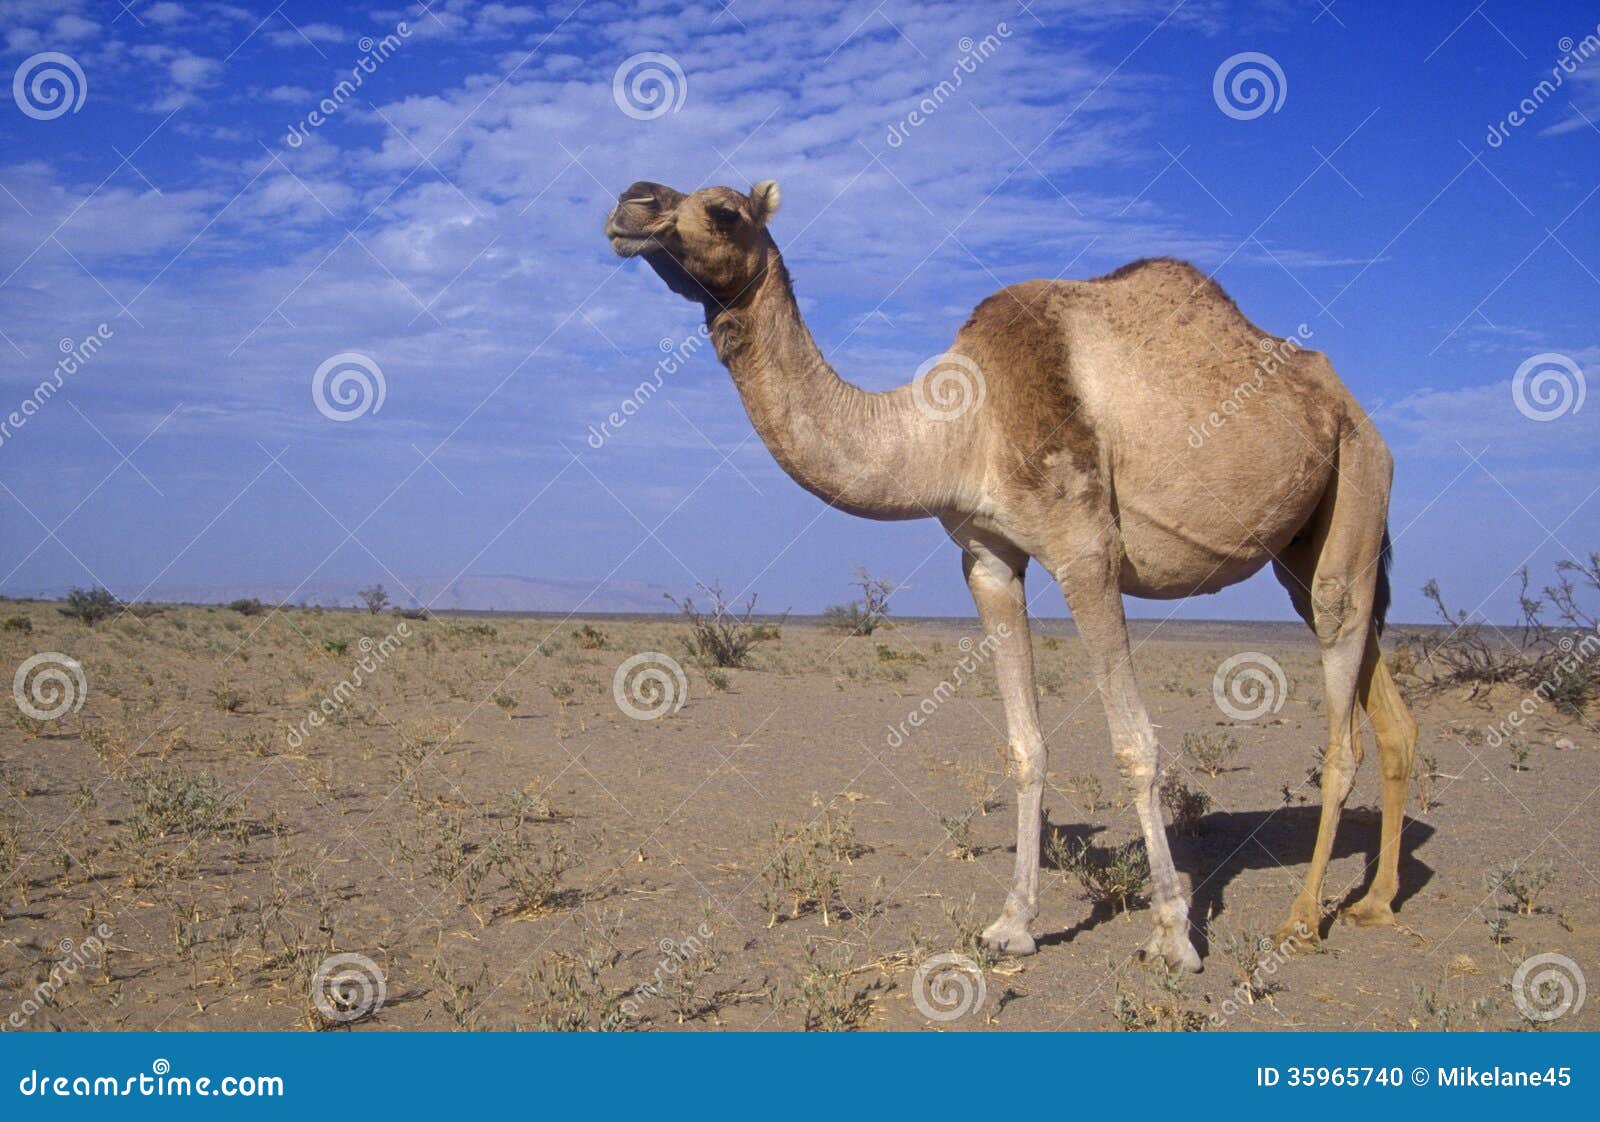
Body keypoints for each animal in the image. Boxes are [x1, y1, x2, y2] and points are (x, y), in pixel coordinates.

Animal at [604, 178, 1418, 970]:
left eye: (721, 210)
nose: (630, 205)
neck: (959, 426)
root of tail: (1351, 405)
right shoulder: (987, 556)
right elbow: (1026, 745)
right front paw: (1013, 925)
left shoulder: (1087, 549)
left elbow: (1135, 744)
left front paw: (1172, 935)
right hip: (1307, 542)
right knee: (1383, 700)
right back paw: (1376, 901)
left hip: (1357, 475)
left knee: (1341, 706)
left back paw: (1302, 919)